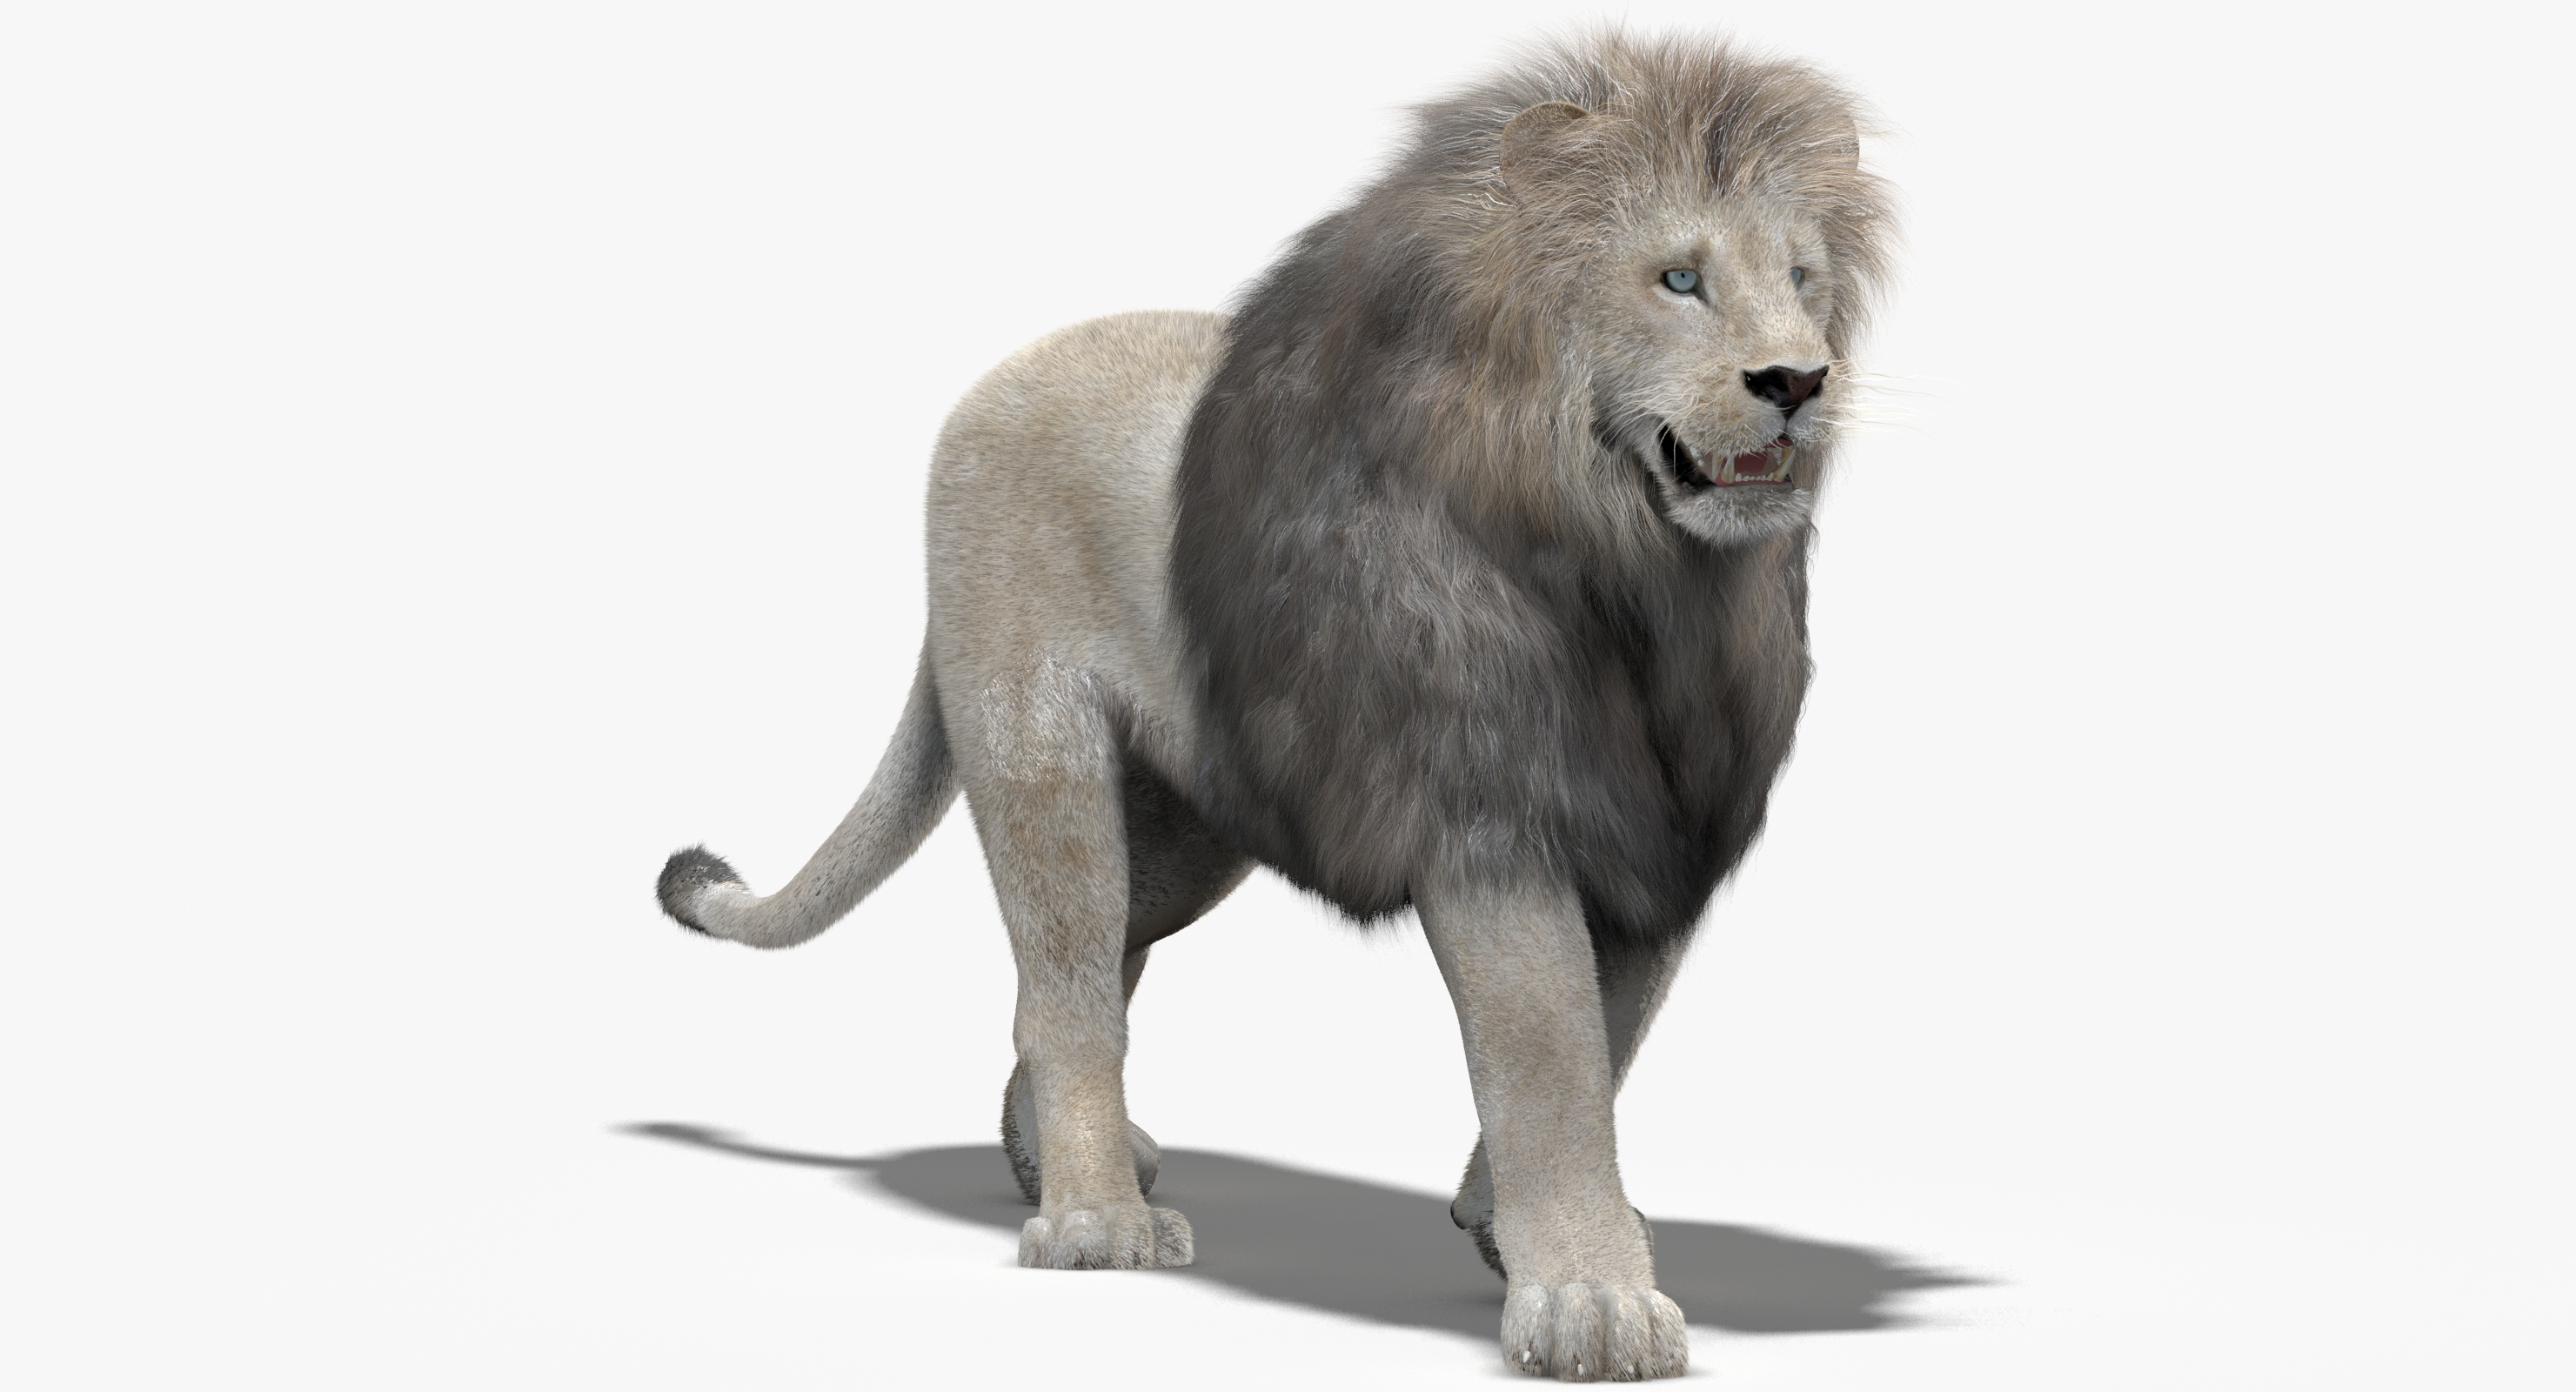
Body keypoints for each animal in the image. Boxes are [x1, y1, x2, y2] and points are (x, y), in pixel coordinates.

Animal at [657, 31, 1893, 1382]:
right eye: (1678, 277)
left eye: (1802, 279)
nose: (1798, 379)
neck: (1635, 575)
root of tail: (991, 384)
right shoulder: (1489, 815)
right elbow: (1552, 1061)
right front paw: (1591, 1300)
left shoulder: (1659, 832)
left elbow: (1610, 1037)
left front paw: (1505, 1229)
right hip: (1040, 753)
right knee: (1067, 986)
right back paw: (1093, 1220)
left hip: (1196, 821)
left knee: (1090, 970)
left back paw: (1056, 1161)